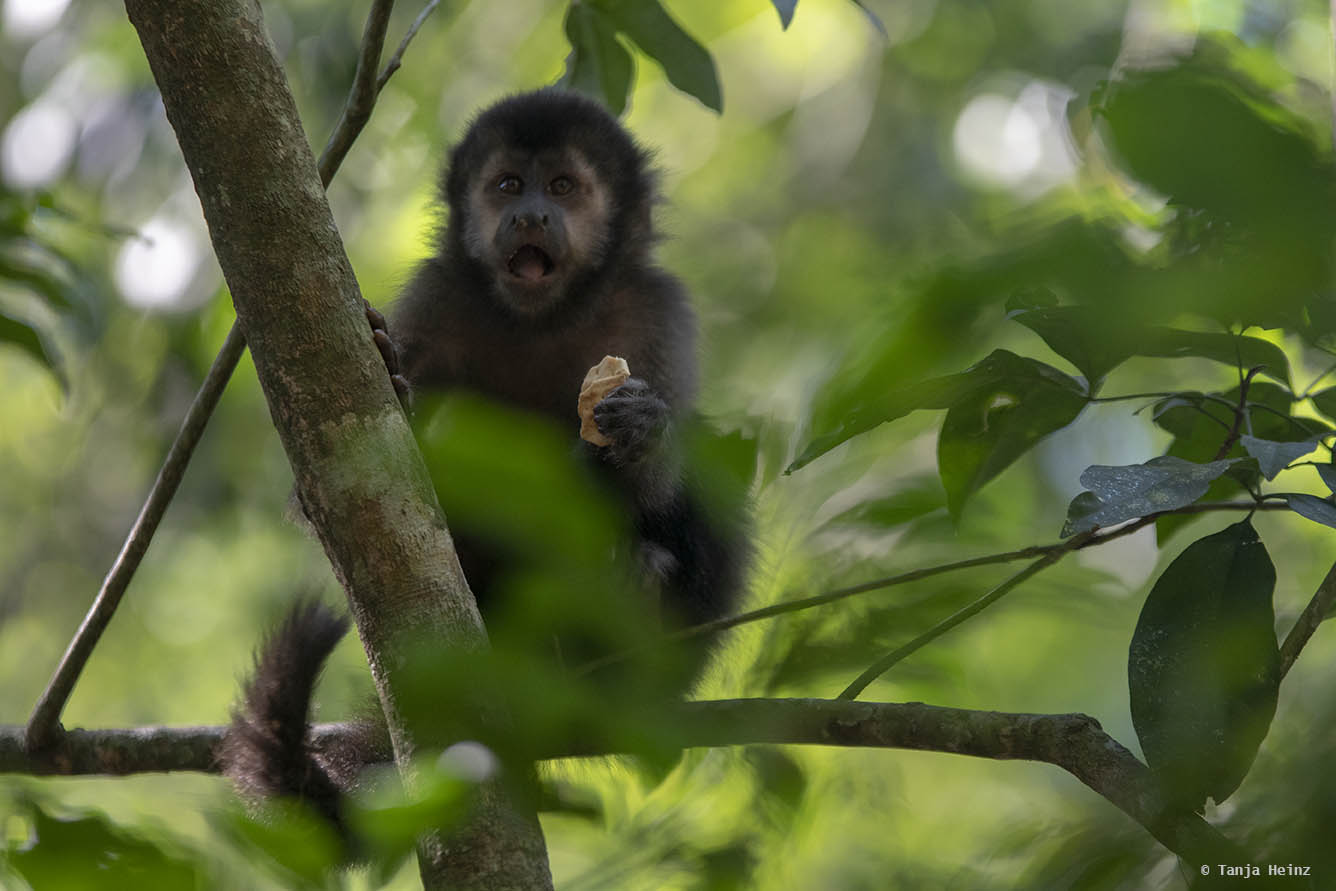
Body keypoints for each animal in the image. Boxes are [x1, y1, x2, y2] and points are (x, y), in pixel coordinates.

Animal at [222, 89, 748, 836]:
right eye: (507, 185)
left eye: (562, 186)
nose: (529, 215)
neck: (542, 316)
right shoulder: (437, 294)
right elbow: (334, 497)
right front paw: (393, 384)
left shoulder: (657, 308)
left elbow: (662, 475)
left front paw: (643, 431)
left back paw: (637, 602)